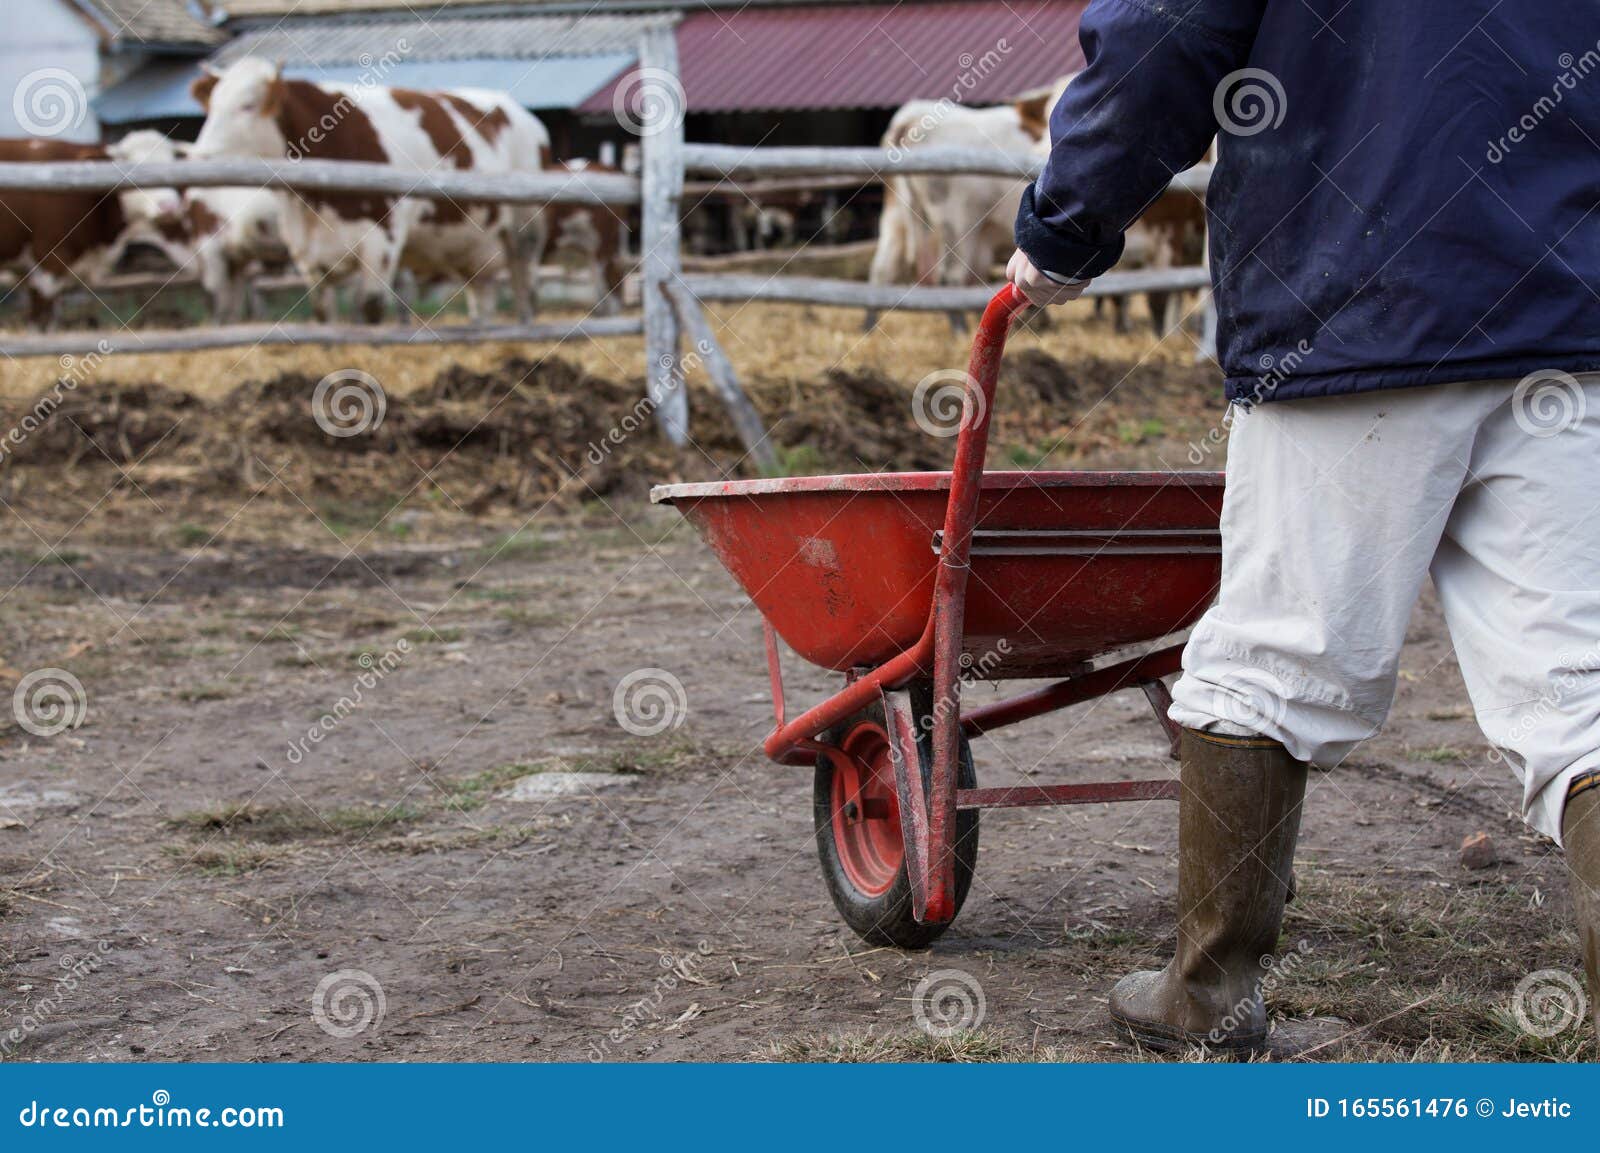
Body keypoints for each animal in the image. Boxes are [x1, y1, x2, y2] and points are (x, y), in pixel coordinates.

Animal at [188, 59, 549, 324]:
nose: (201, 156)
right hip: (473, 247)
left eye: (247, 106)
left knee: (525, 292)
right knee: (482, 297)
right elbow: (323, 314)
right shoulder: (308, 256)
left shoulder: (382, 240)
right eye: (212, 106)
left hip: (525, 234)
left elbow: (370, 307)